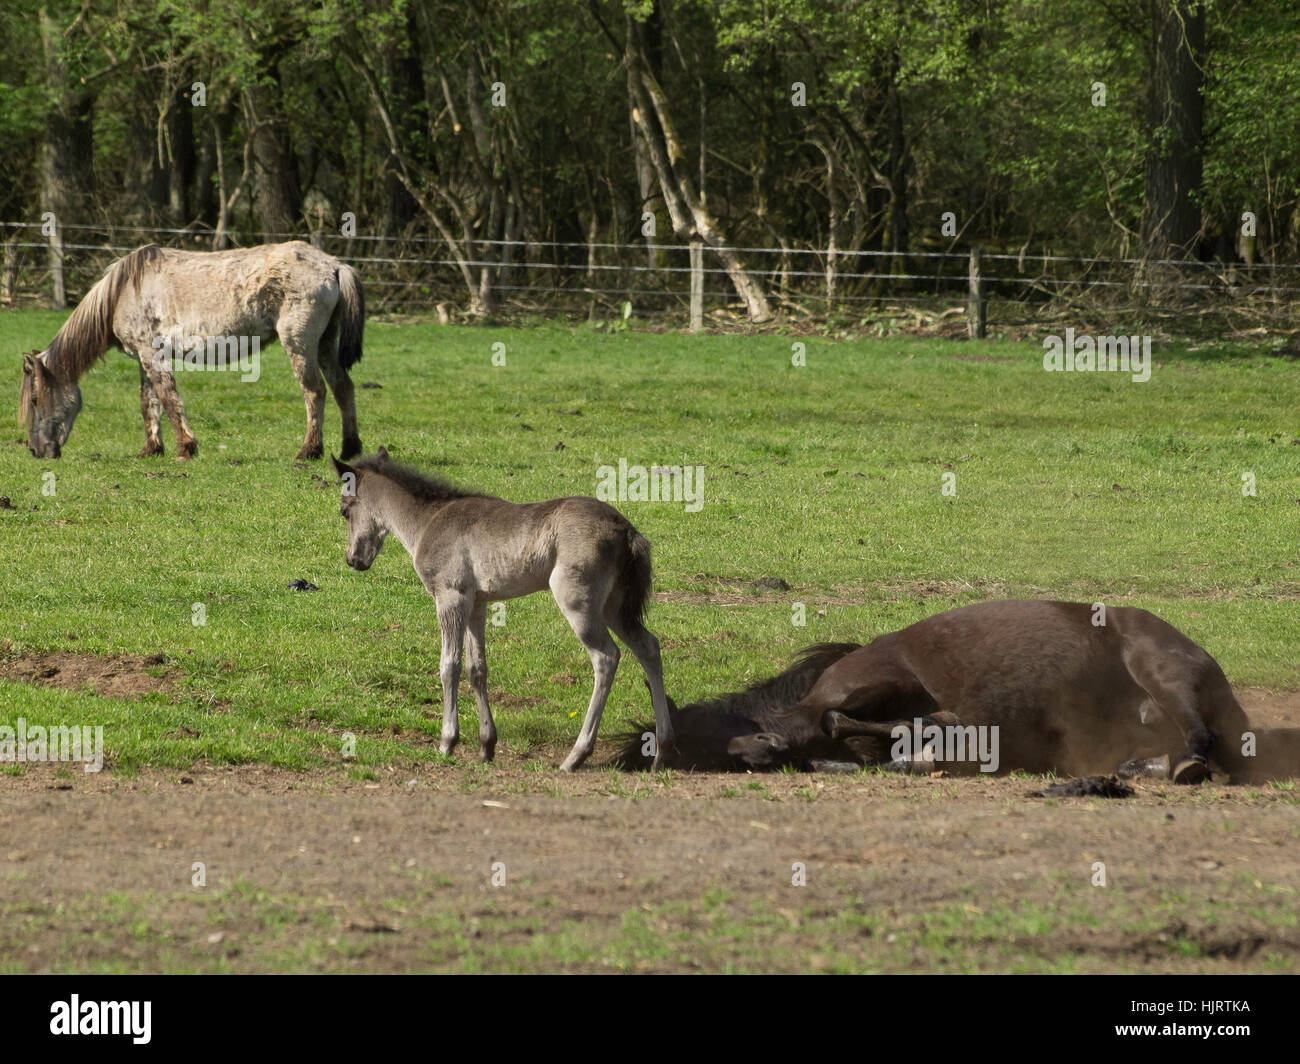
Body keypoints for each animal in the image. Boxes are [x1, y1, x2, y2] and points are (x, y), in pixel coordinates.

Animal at [19, 241, 364, 461]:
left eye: (35, 399)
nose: (36, 450)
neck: (123, 292)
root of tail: (334, 266)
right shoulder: (143, 359)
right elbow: (149, 404)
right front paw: (150, 450)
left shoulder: (152, 355)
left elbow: (170, 400)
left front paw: (186, 448)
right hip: (324, 344)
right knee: (342, 388)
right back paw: (349, 449)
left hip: (299, 344)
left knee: (315, 392)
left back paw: (309, 451)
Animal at [331, 448, 676, 771]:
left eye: (344, 511)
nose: (353, 560)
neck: (428, 521)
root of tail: (626, 530)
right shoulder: (477, 603)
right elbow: (477, 669)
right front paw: (486, 745)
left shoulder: (450, 597)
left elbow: (449, 665)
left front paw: (447, 741)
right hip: (614, 607)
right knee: (648, 647)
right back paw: (662, 750)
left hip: (580, 603)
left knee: (606, 657)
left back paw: (576, 756)